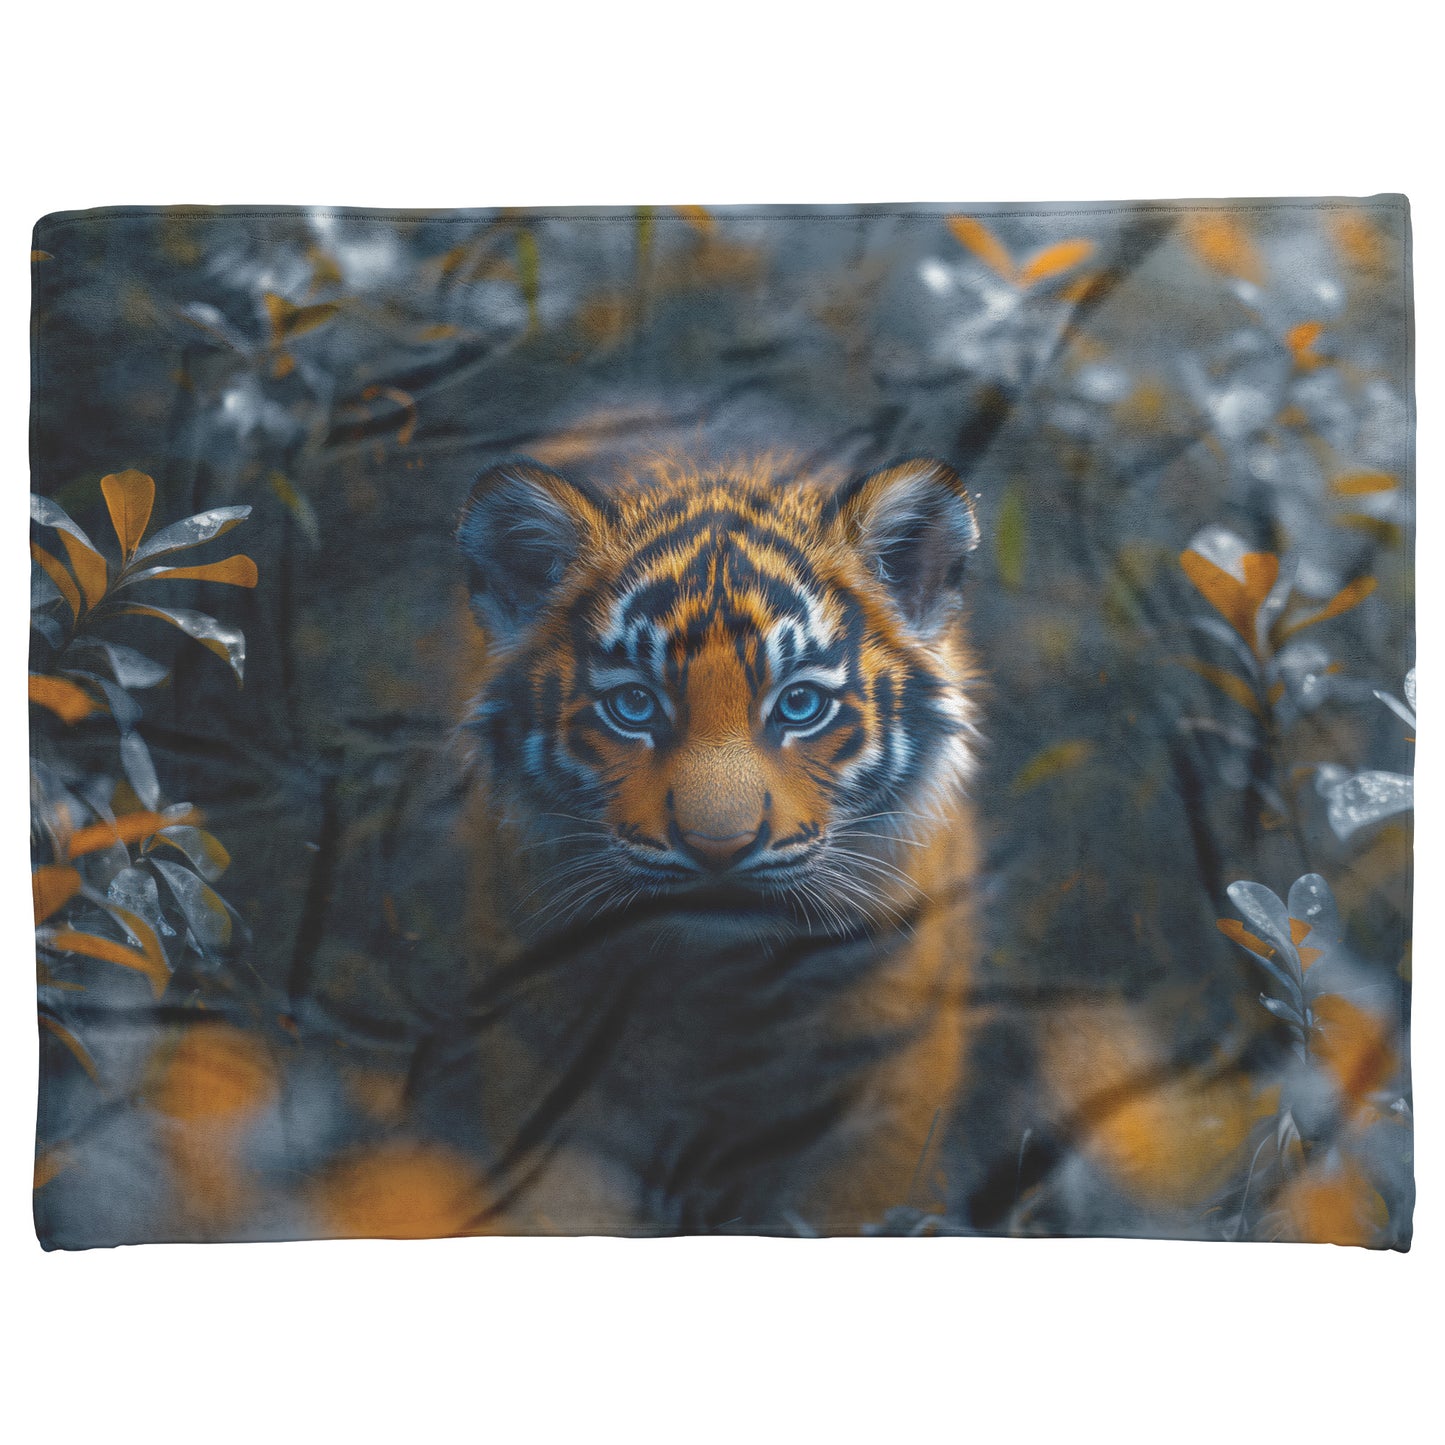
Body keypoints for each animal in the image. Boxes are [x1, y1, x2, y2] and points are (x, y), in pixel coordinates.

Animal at [454, 453, 984, 1233]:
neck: (719, 994)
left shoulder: (878, 1093)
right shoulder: (548, 1078)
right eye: (633, 705)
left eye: (800, 704)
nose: (718, 846)